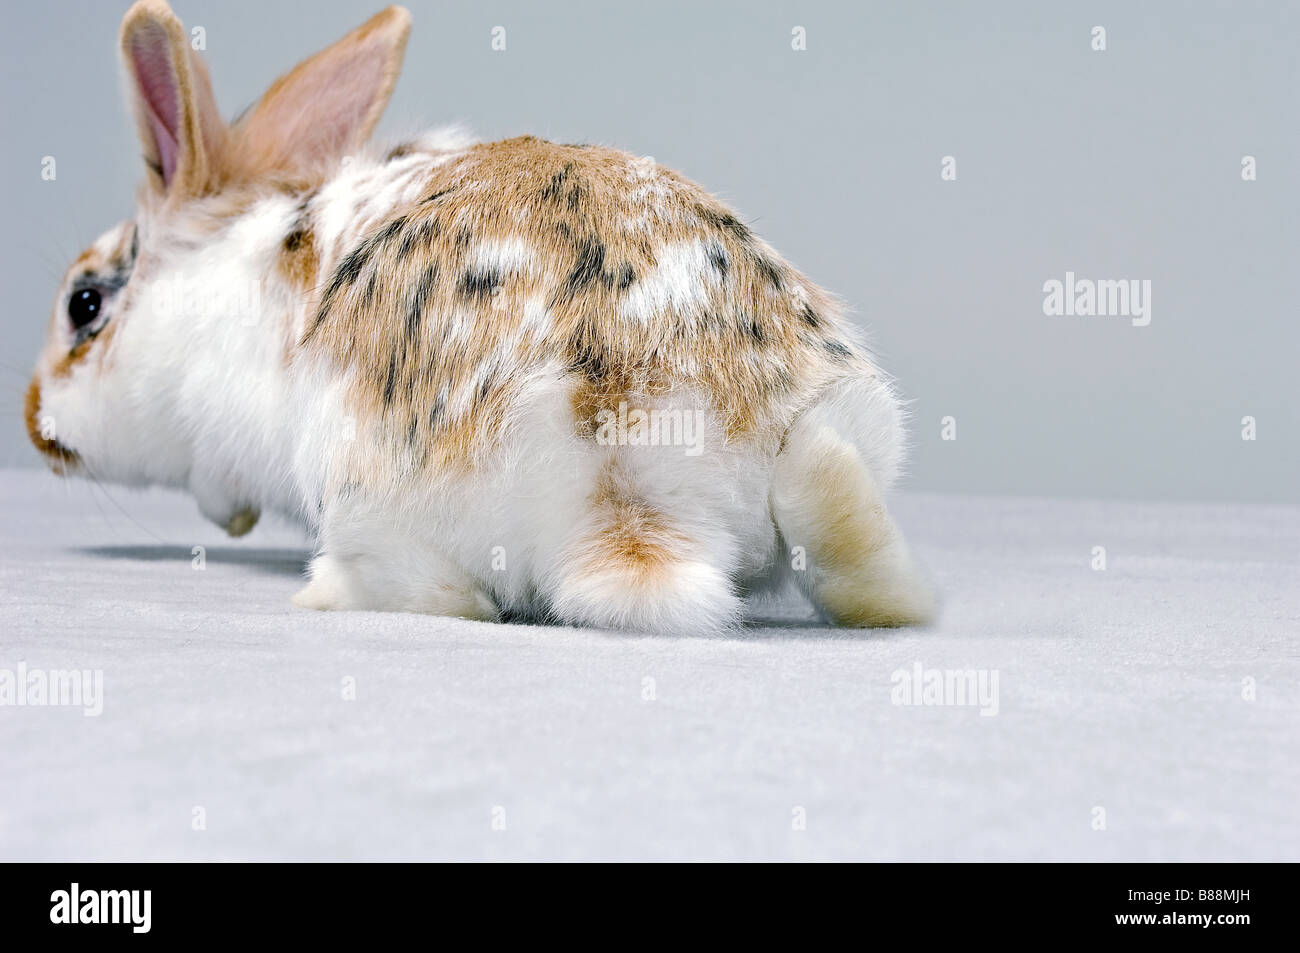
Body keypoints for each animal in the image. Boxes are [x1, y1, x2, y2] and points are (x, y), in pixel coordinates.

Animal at [25, 0, 935, 634]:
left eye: (83, 305)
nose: (34, 423)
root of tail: (634, 483)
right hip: (852, 424)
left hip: (365, 501)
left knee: (447, 597)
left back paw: (322, 593)